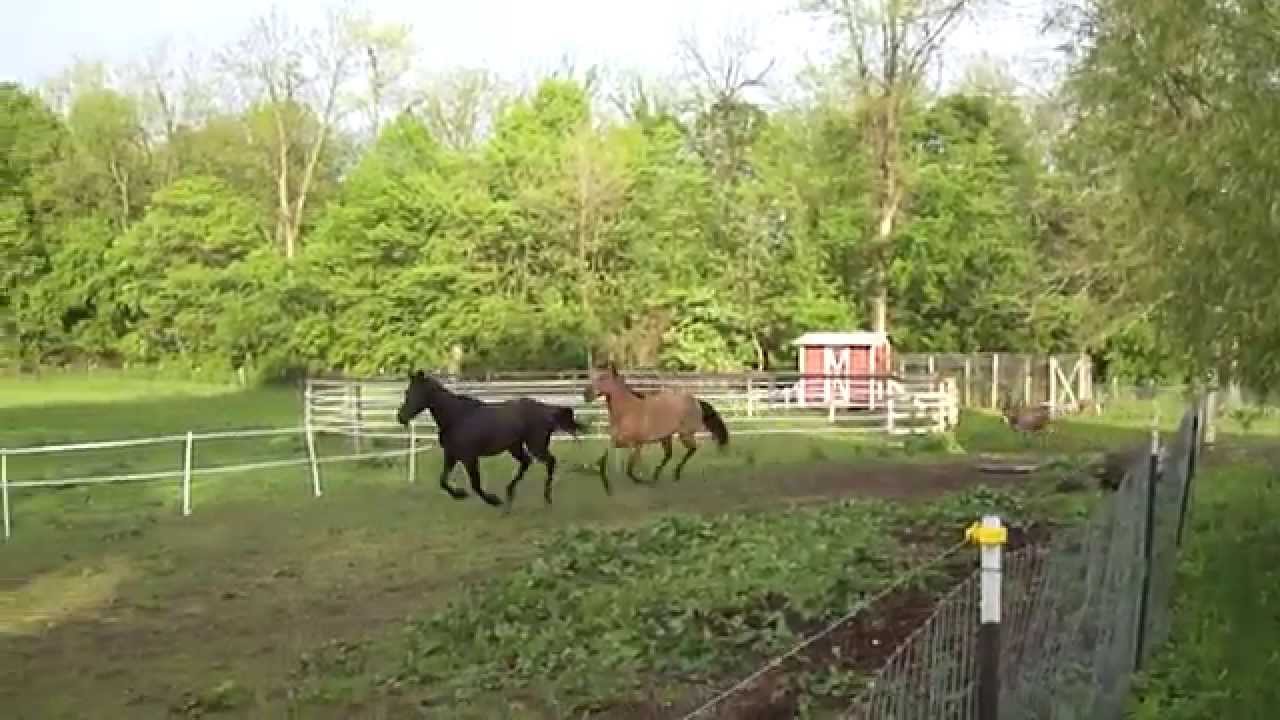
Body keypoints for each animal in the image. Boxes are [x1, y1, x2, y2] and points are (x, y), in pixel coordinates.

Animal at [396, 370, 586, 511]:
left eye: (416, 393)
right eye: (407, 392)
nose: (400, 417)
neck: (457, 416)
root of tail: (546, 410)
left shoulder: (469, 457)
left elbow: (475, 484)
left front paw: (494, 500)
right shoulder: (451, 455)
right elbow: (442, 481)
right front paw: (460, 495)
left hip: (535, 445)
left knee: (550, 461)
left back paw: (546, 498)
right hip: (515, 446)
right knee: (526, 462)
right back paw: (510, 494)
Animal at [582, 363, 729, 492]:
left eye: (603, 378)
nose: (586, 395)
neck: (627, 412)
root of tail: (696, 401)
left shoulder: (636, 445)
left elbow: (629, 471)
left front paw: (641, 482)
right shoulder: (615, 443)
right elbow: (602, 463)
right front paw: (606, 485)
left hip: (685, 434)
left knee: (692, 449)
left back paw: (675, 474)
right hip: (666, 437)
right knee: (669, 455)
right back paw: (656, 476)